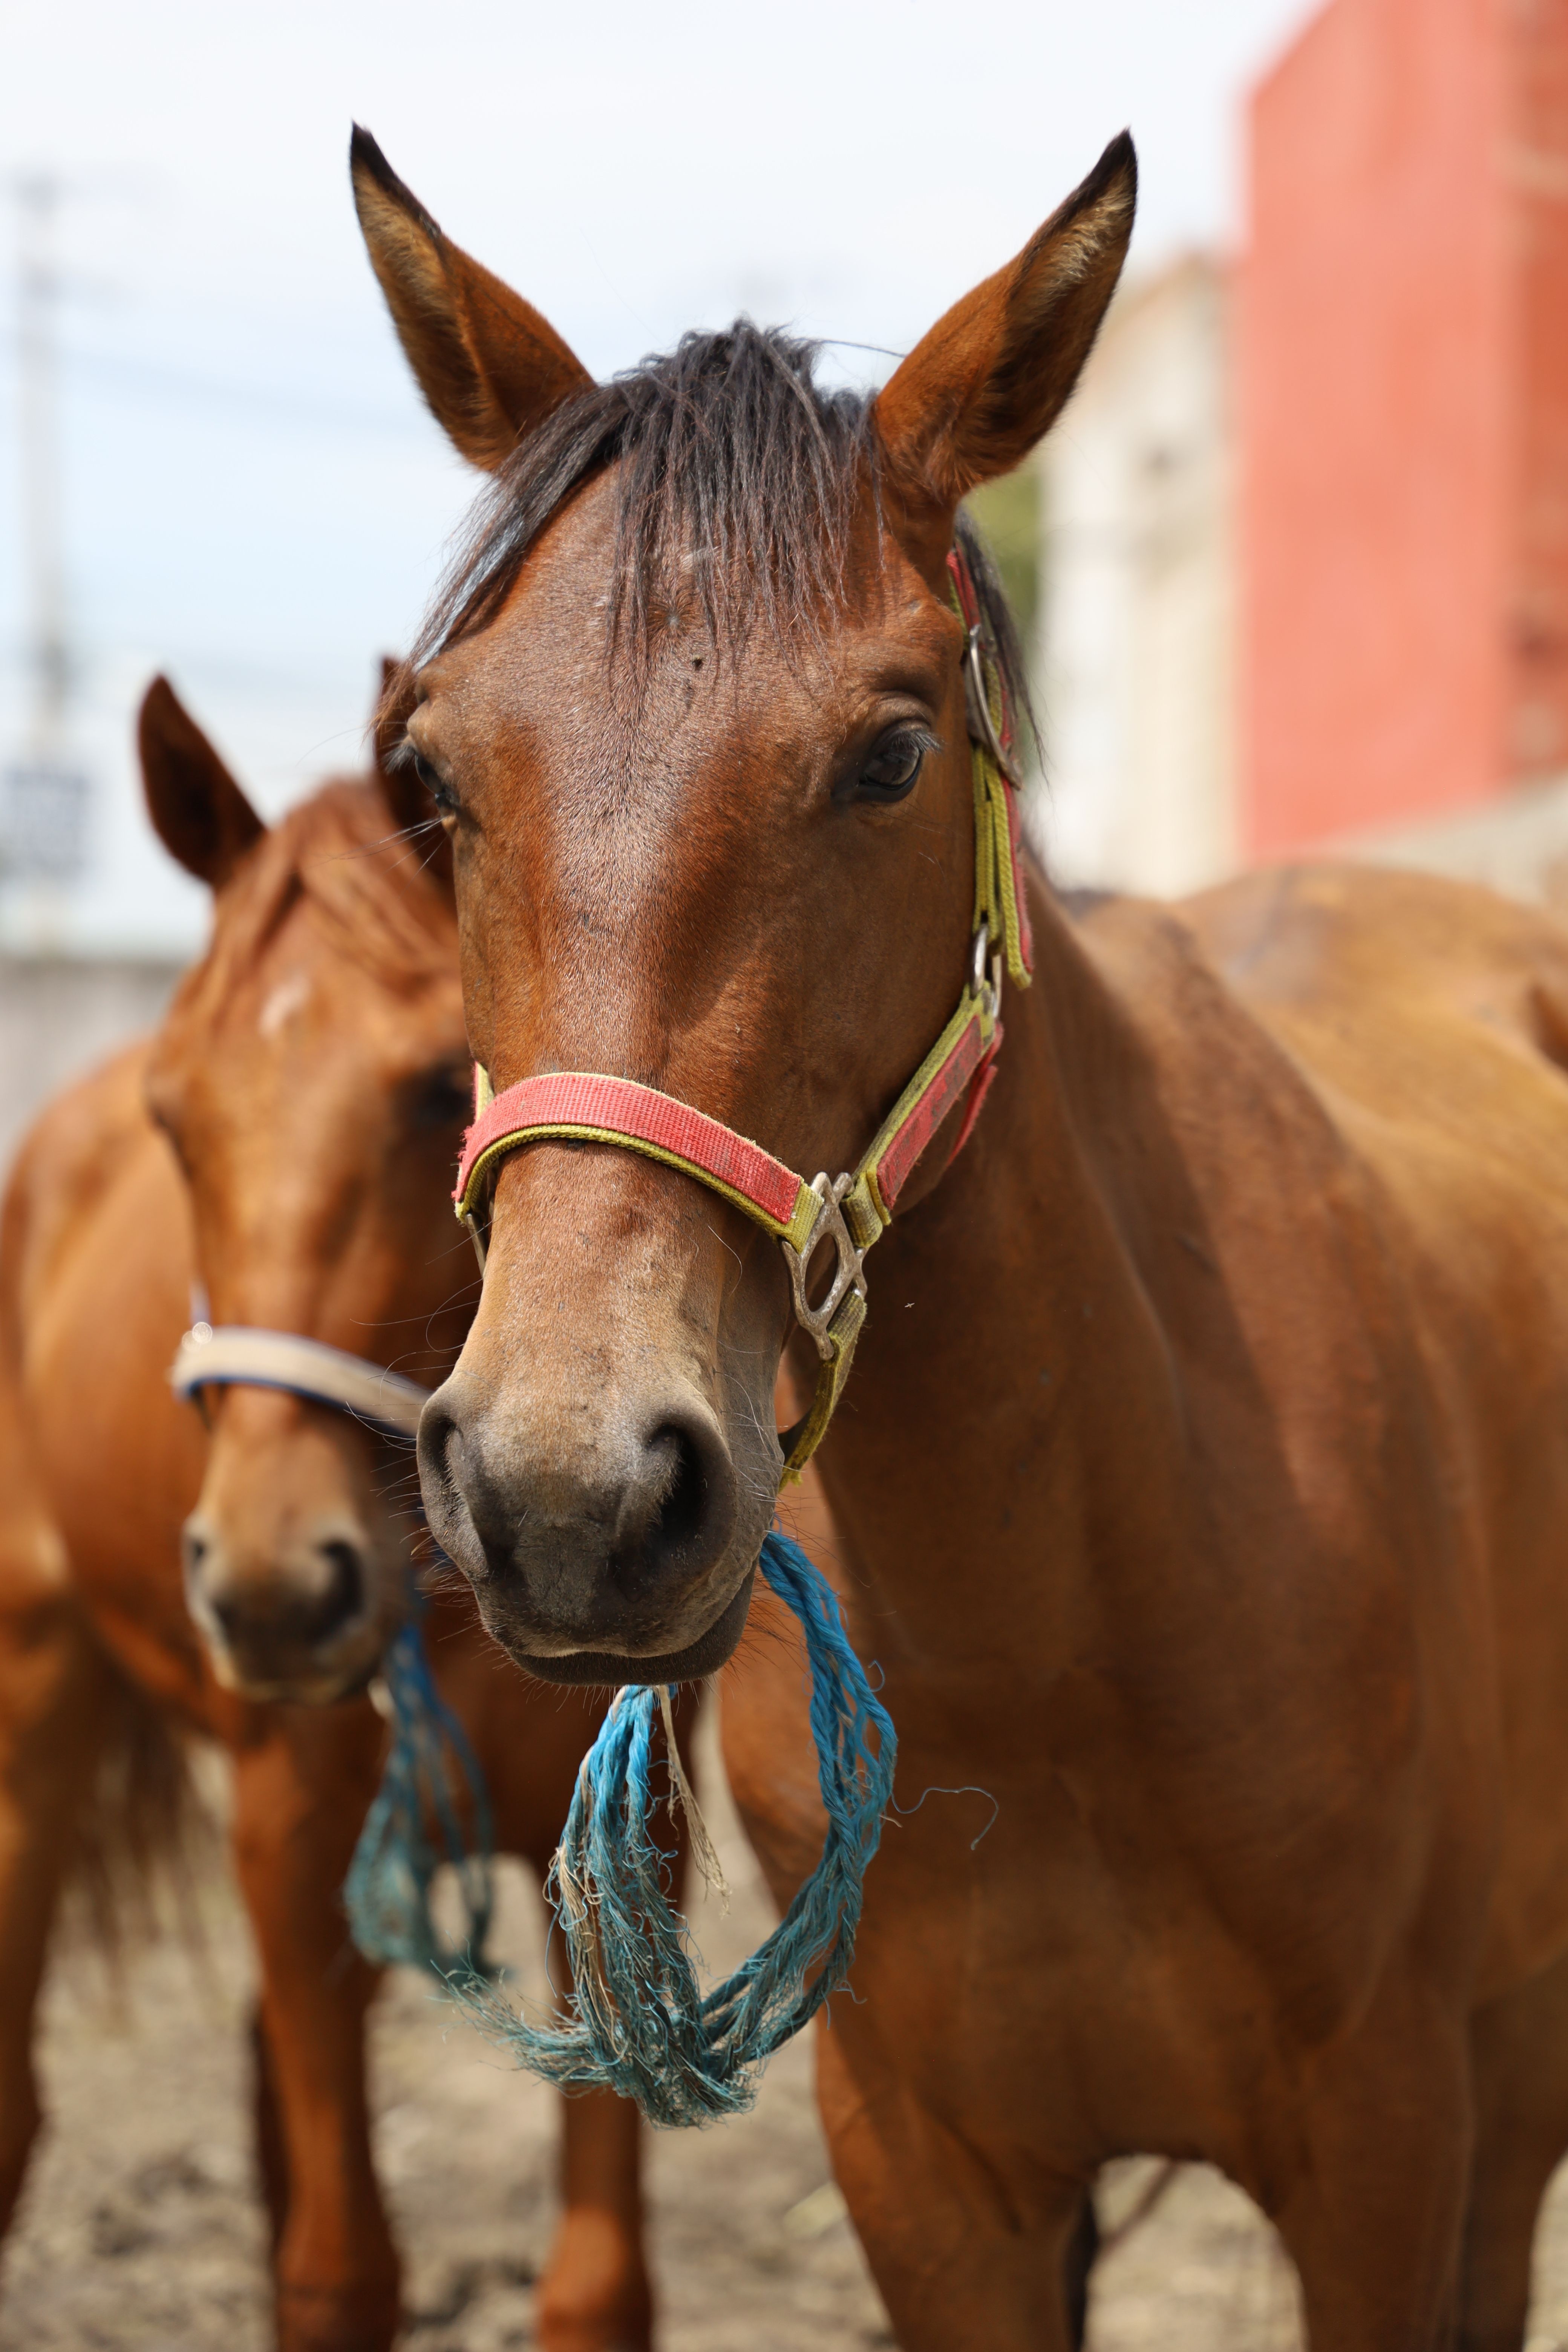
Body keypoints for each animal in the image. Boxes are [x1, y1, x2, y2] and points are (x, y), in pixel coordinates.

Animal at [0, 676, 680, 2352]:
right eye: (175, 1118)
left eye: (441, 1086)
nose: (268, 1585)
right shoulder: (286, 1826)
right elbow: (339, 2276)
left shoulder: (617, 1850)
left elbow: (595, 2285)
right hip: (39, 1706)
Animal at [349, 118, 1568, 2349]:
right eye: (431, 775)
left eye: (895, 751)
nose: (570, 1493)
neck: (1076, 1627)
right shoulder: (930, 2170)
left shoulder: (1387, 2140)